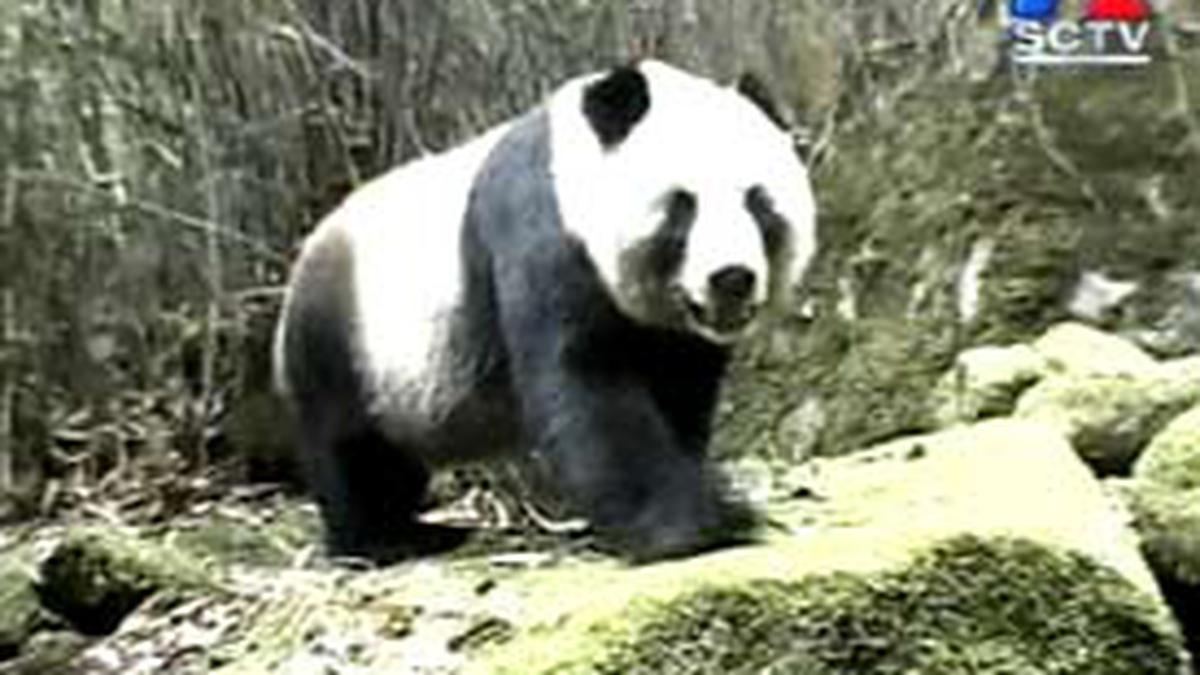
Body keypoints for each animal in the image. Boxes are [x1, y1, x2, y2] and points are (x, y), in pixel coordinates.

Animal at [273, 60, 816, 563]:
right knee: (352, 448)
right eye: (683, 206)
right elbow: (588, 379)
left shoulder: (676, 332)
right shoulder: (543, 230)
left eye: (759, 203)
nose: (731, 278)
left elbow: (679, 390)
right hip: (347, 335)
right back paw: (380, 540)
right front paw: (694, 525)